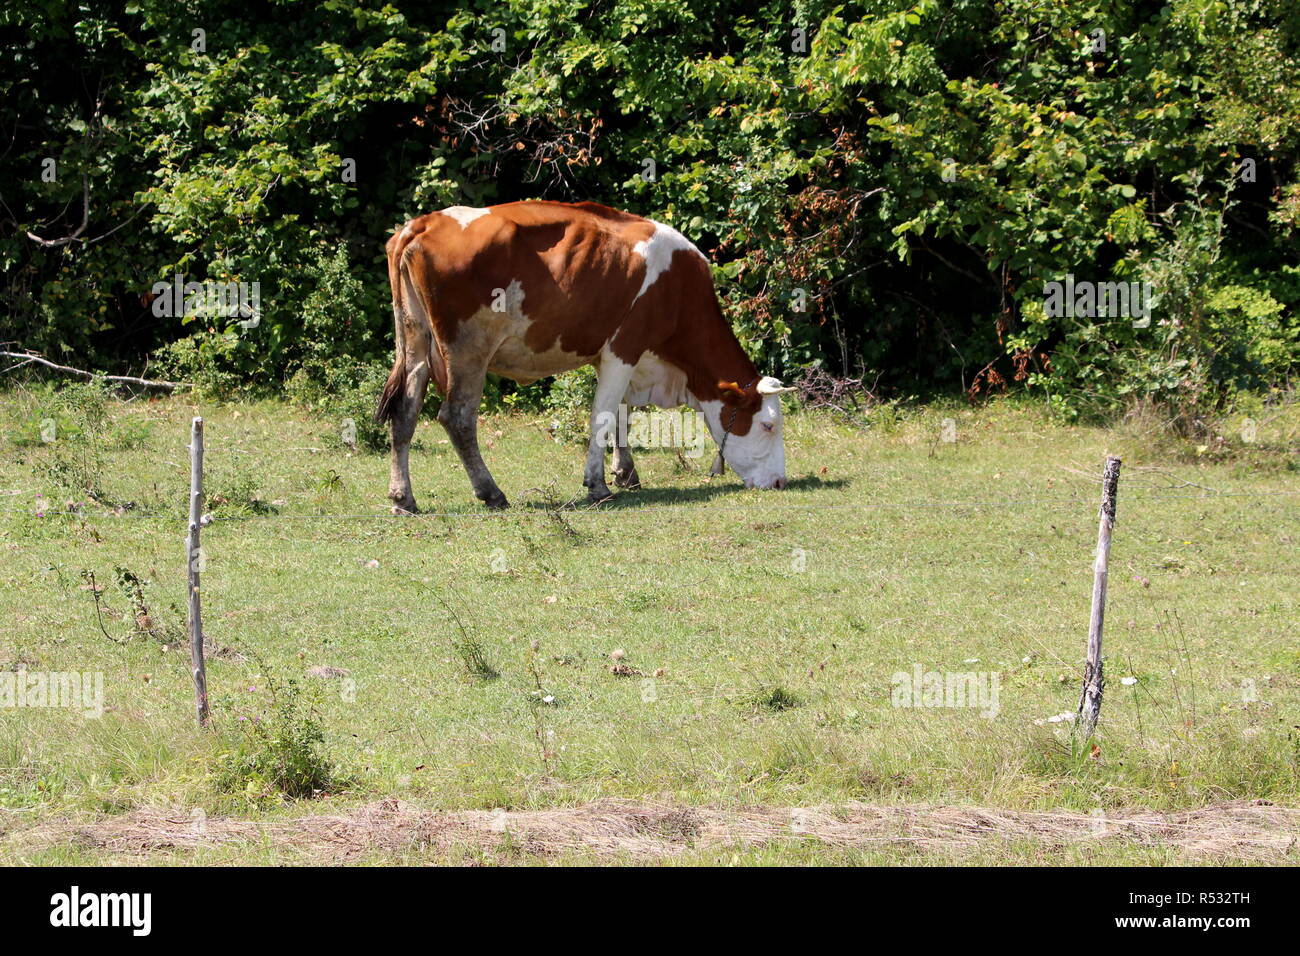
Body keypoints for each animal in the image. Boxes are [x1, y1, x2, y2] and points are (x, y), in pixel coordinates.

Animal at [375, 200, 795, 512]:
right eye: (768, 426)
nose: (779, 482)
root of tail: (423, 223)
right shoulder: (623, 347)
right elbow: (603, 417)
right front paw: (598, 485)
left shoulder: (624, 357)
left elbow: (624, 414)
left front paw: (626, 473)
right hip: (468, 349)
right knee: (457, 417)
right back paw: (491, 492)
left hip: (414, 341)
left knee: (405, 411)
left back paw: (403, 498)